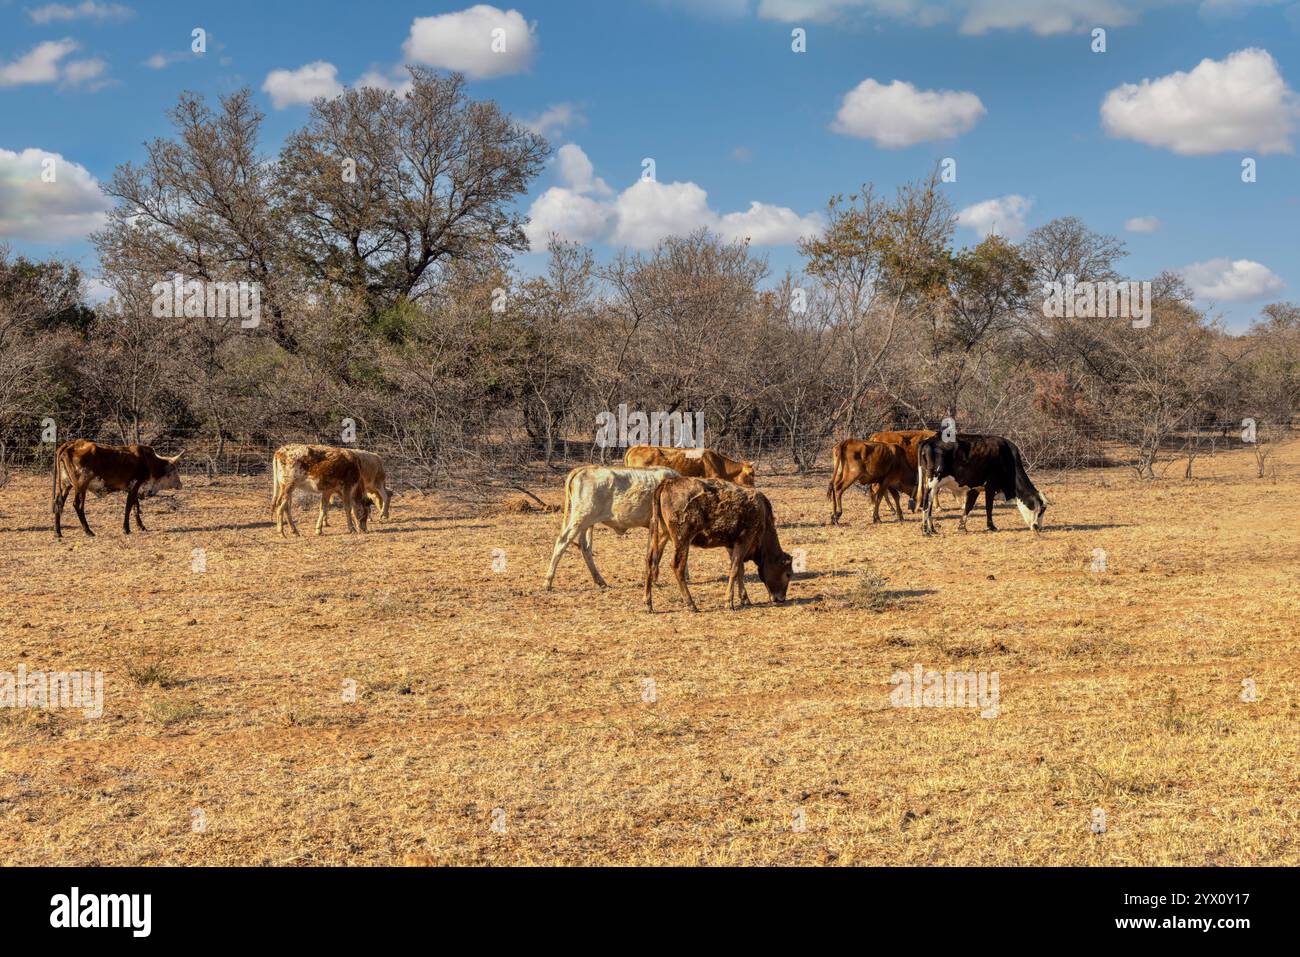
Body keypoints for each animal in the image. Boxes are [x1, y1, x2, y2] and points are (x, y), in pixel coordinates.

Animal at [52, 440, 185, 538]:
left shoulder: (132, 488)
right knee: (78, 505)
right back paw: (88, 531)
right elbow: (129, 506)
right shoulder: (135, 484)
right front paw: (126, 529)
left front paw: (141, 526)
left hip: (65, 485)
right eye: (174, 470)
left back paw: (58, 532)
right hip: (81, 486)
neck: (148, 461)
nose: (180, 484)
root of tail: (71, 444)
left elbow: (135, 506)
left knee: (59, 503)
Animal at [544, 465, 678, 590]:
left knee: (585, 546)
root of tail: (584, 468)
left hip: (587, 523)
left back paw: (600, 580)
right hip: (580, 519)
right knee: (562, 541)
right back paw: (548, 582)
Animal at [644, 476, 793, 613]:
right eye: (788, 574)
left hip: (662, 534)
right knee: (677, 566)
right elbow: (734, 569)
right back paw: (691, 604)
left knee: (650, 561)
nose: (781, 598)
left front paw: (745, 599)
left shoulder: (731, 545)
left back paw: (648, 604)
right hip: (682, 540)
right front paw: (729, 602)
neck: (761, 511)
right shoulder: (745, 539)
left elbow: (740, 569)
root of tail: (668, 482)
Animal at [917, 433, 1049, 536]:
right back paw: (925, 531)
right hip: (932, 483)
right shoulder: (990, 486)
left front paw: (962, 527)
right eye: (1040, 510)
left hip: (932, 485)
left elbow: (968, 506)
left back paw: (932, 529)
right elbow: (989, 507)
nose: (1038, 528)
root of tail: (929, 440)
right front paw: (991, 526)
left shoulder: (975, 488)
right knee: (925, 504)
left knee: (929, 505)